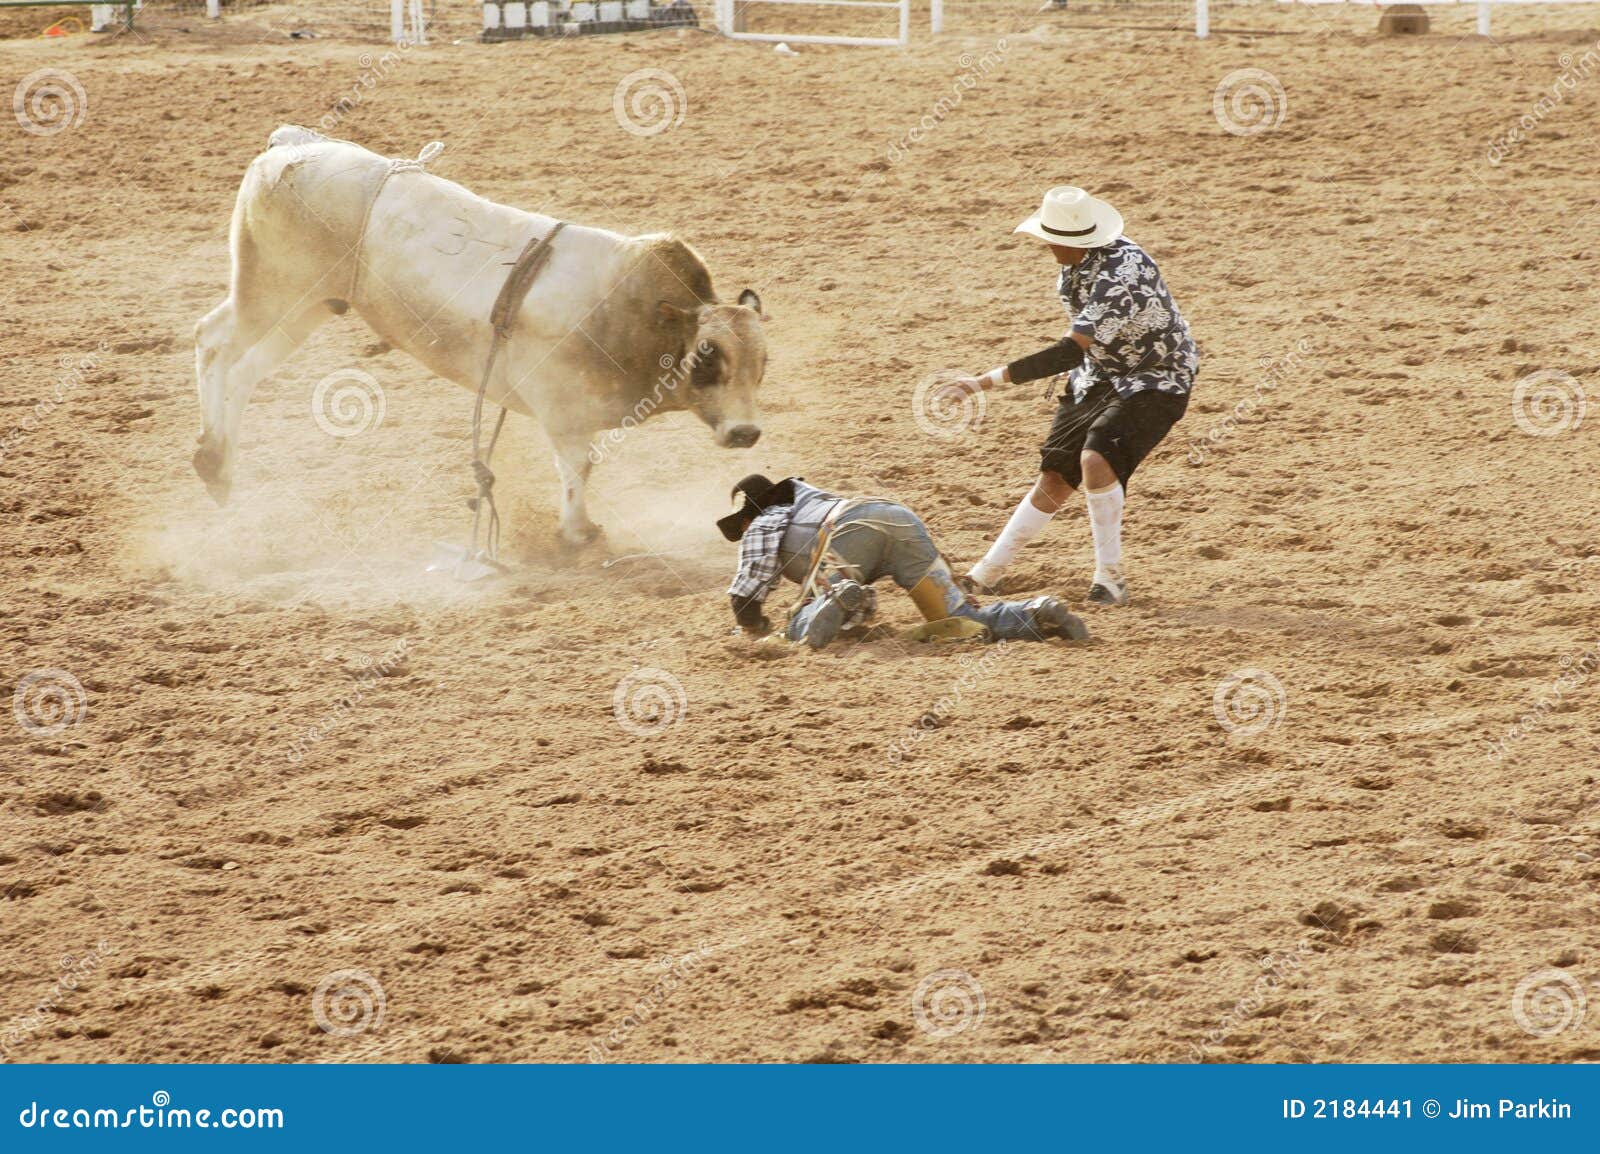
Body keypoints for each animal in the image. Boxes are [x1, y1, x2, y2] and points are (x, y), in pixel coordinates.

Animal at [193, 125, 766, 546]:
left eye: (761, 366)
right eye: (707, 358)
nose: (746, 432)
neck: (633, 313)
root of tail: (291, 146)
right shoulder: (563, 411)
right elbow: (578, 467)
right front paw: (577, 531)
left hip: (308, 305)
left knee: (238, 365)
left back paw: (217, 465)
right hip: (270, 292)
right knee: (216, 343)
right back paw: (213, 458)